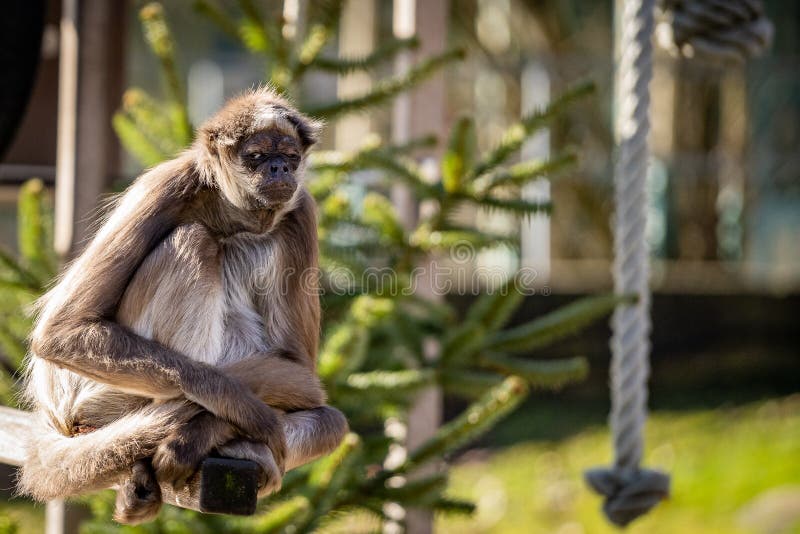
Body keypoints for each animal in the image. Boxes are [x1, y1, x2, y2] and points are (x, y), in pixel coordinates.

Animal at [18, 87, 348, 524]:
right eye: (257, 156)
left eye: (289, 156)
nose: (279, 168)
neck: (231, 218)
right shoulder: (167, 185)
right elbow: (62, 332)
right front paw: (243, 410)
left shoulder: (301, 209)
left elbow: (297, 366)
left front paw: (201, 433)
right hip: (100, 395)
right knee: (195, 239)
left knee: (329, 421)